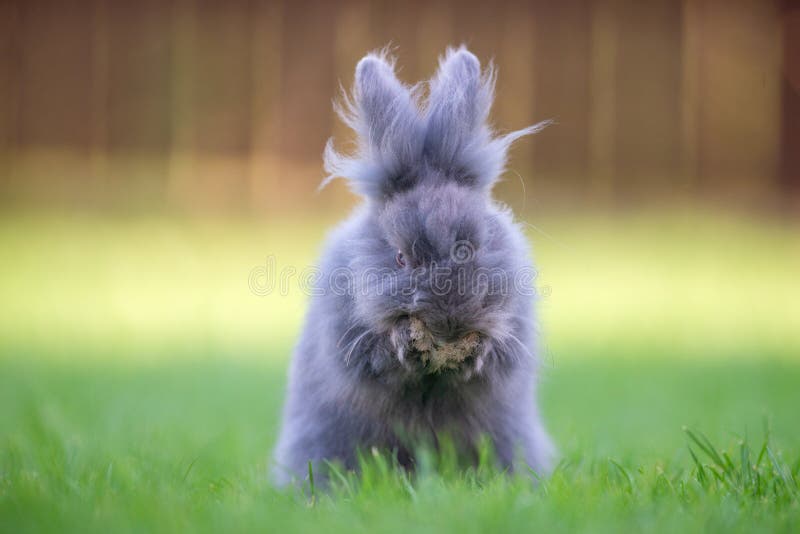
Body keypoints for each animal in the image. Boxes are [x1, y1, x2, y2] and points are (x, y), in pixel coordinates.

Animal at [272, 46, 554, 487]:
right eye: (401, 257)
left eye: (473, 244)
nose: (450, 321)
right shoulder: (347, 336)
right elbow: (376, 357)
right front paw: (407, 341)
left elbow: (497, 358)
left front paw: (473, 352)